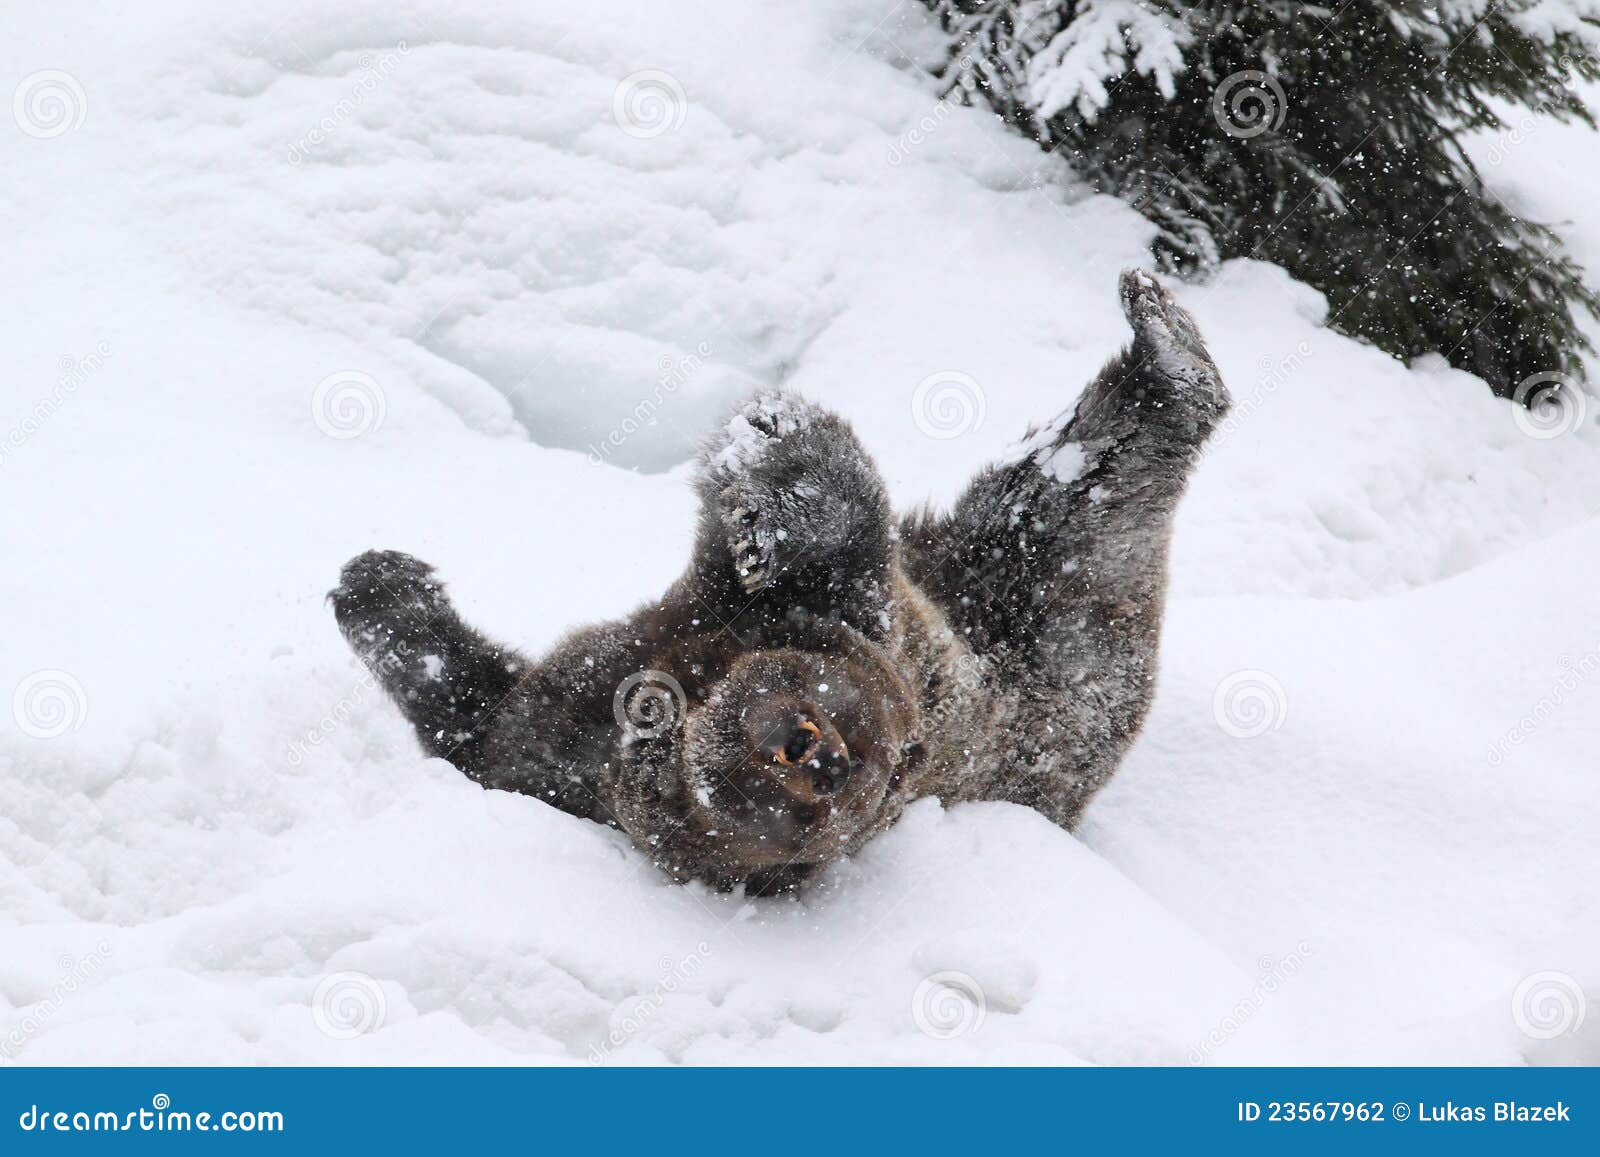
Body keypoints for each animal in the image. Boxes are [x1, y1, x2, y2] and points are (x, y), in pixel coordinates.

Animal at [331, 270, 1229, 893]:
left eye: (862, 761)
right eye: (844, 737)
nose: (817, 752)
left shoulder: (880, 633)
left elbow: (834, 515)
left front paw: (774, 463)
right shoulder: (569, 721)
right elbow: (474, 704)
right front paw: (380, 581)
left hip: (1066, 659)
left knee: (1097, 493)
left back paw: (1173, 353)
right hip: (976, 564)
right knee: (1046, 486)